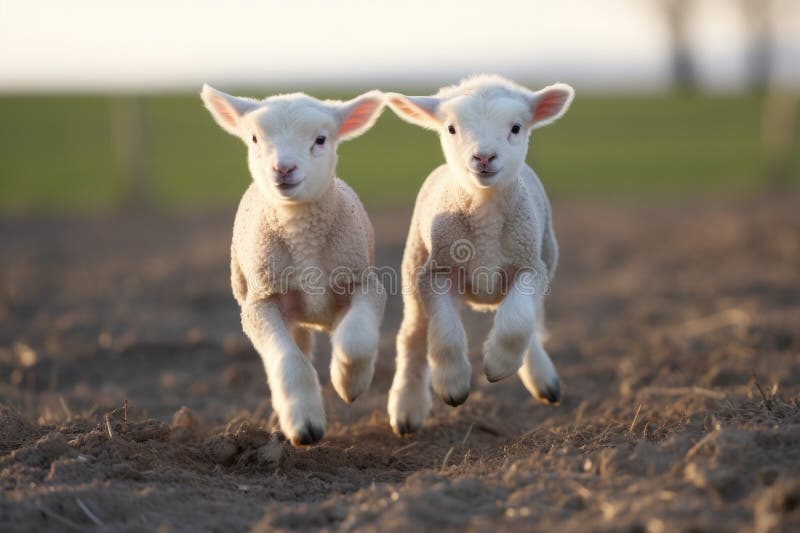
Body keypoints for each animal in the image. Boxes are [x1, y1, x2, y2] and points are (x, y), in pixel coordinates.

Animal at [200, 85, 387, 446]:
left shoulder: (363, 282)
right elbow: (289, 361)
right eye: (254, 138)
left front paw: (348, 381)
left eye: (320, 139)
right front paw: (305, 424)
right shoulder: (259, 304)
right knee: (292, 352)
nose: (283, 169)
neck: (303, 240)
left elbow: (356, 339)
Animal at [384, 75, 574, 435]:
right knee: (412, 338)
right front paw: (452, 385)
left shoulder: (531, 267)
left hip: (546, 255)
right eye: (451, 129)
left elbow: (517, 323)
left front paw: (499, 364)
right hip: (413, 267)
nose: (484, 157)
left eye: (516, 127)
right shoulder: (436, 271)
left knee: (532, 321)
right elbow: (445, 334)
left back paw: (543, 380)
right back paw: (406, 410)